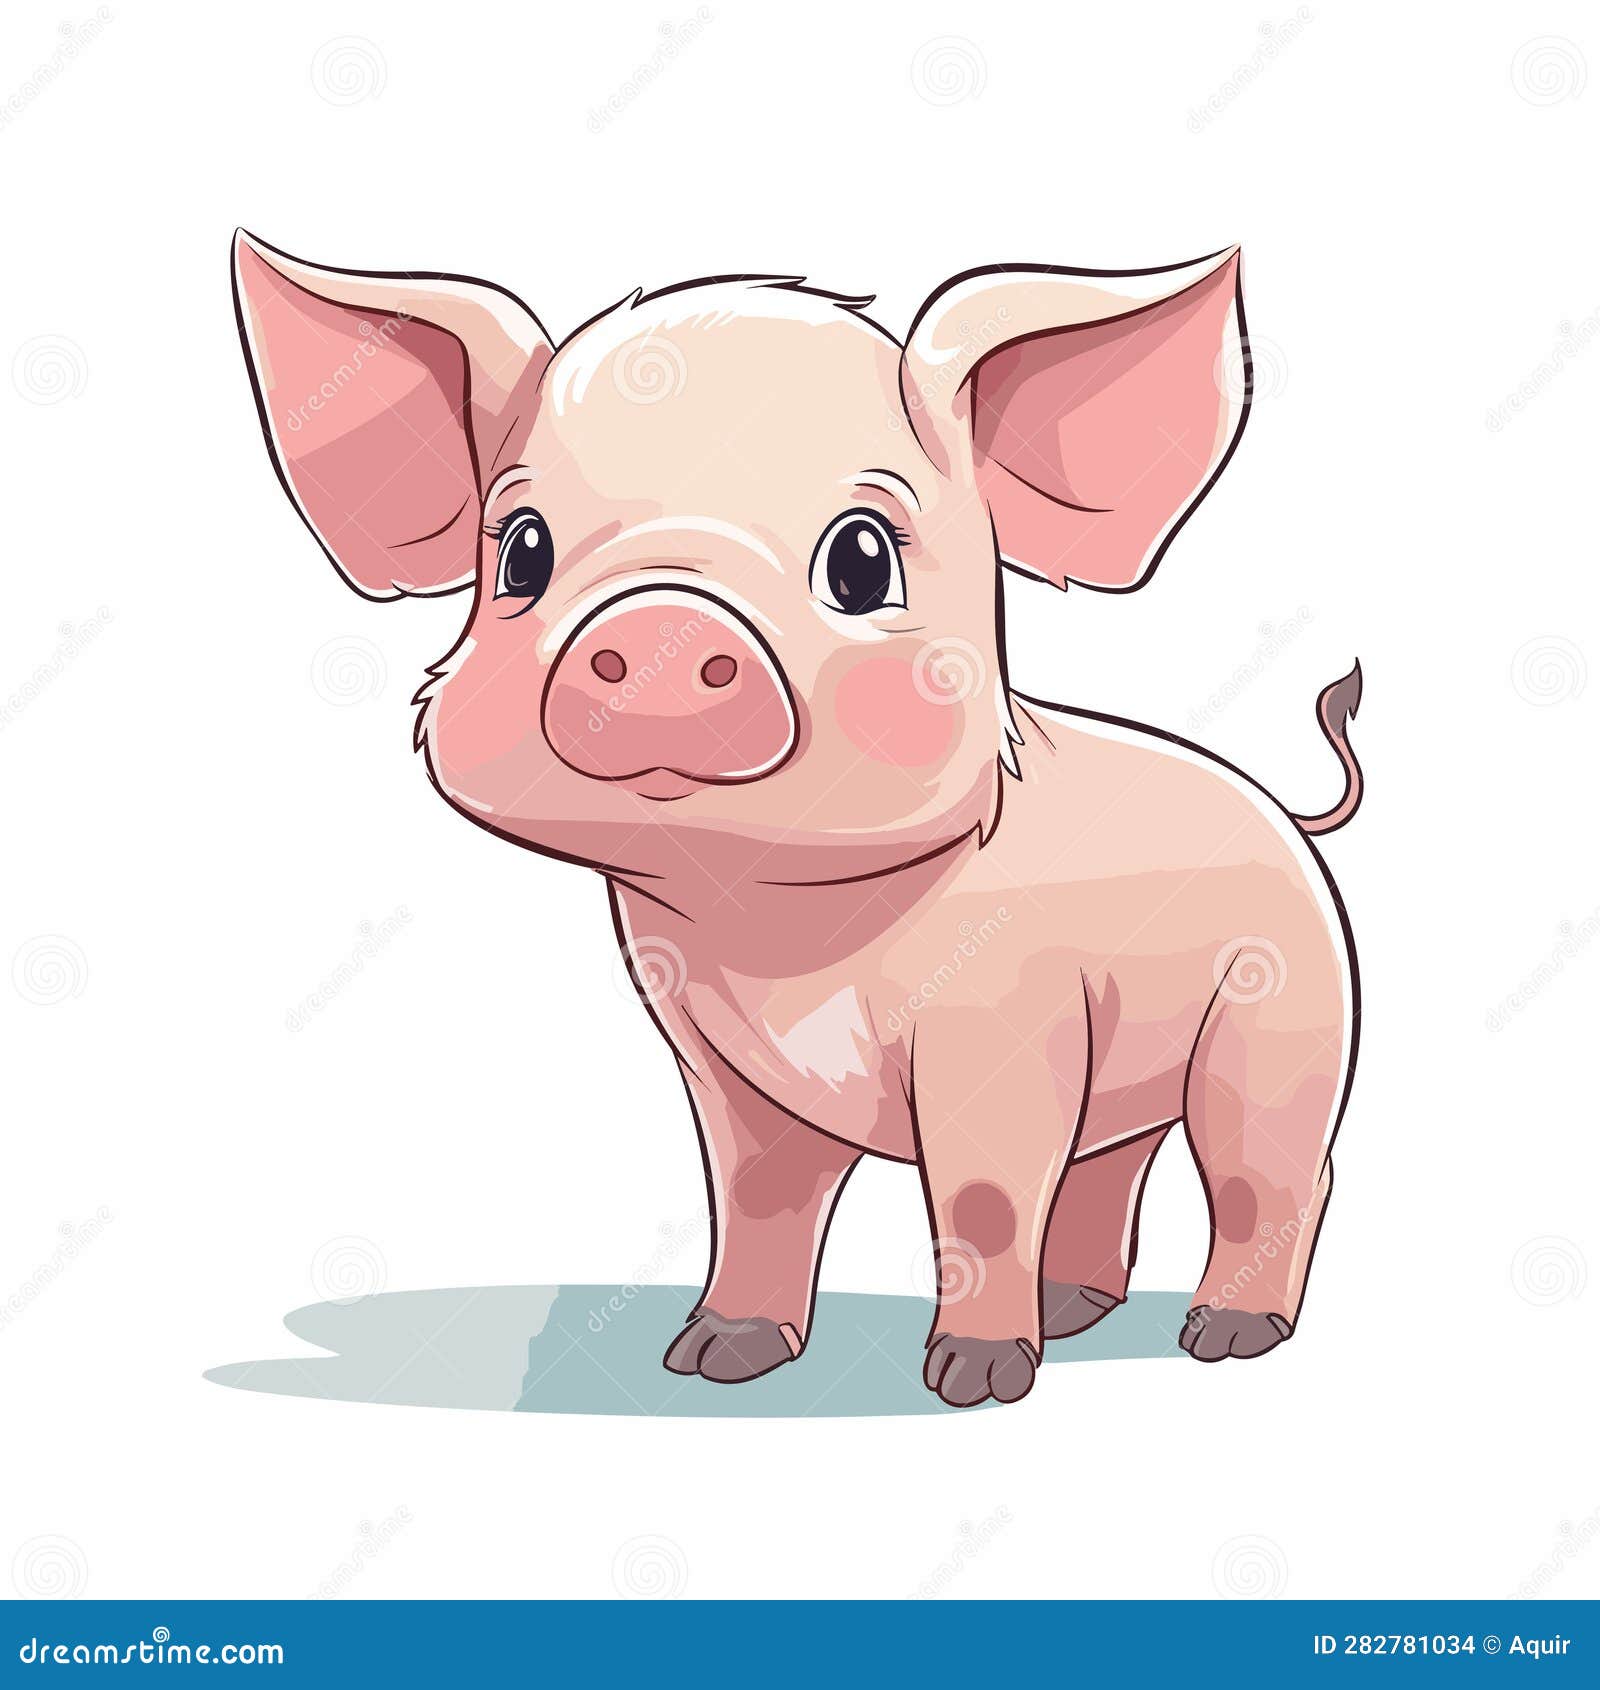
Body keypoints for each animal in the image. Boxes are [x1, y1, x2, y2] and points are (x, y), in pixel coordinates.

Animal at [233, 231, 1362, 1407]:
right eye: (523, 553)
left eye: (862, 560)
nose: (663, 625)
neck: (780, 929)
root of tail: (1284, 813)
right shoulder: (718, 1063)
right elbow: (759, 1203)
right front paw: (710, 1360)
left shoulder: (1007, 1028)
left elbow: (984, 1200)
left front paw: (971, 1383)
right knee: (1116, 1164)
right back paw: (1073, 1310)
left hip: (1281, 1015)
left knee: (1274, 1171)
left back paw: (1224, 1338)